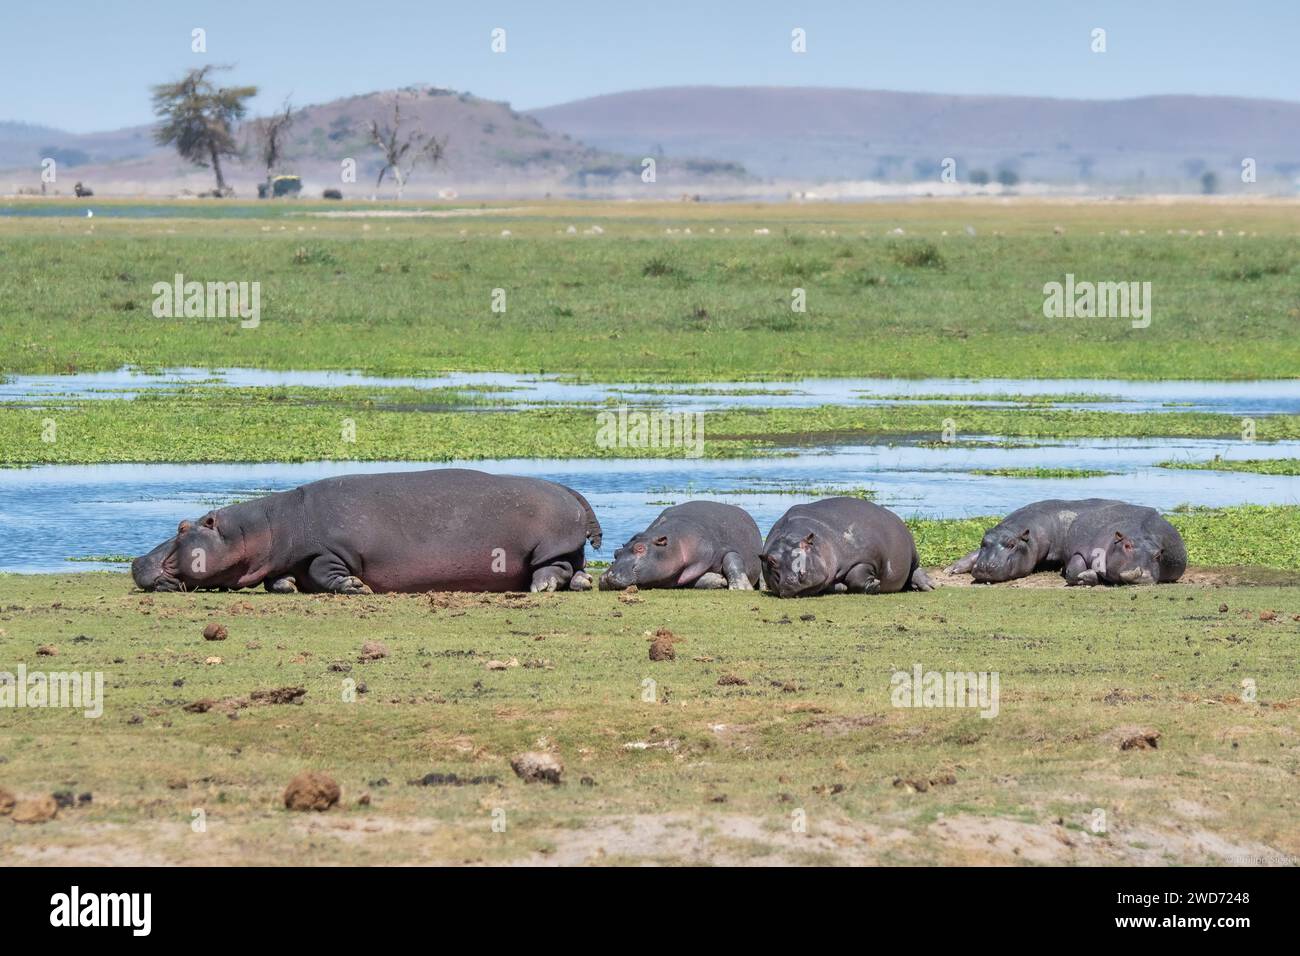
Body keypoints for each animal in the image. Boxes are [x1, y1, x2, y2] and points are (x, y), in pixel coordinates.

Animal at [131, 468, 602, 594]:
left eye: (183, 526)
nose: (136, 561)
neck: (260, 527)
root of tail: (569, 490)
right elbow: (279, 579)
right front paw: (285, 585)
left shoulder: (332, 549)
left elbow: (325, 571)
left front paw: (356, 587)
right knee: (576, 567)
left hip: (549, 543)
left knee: (555, 566)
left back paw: (541, 588)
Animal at [599, 501, 762, 590]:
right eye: (616, 552)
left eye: (640, 548)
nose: (607, 576)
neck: (674, 542)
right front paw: (718, 580)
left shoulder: (721, 548)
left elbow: (732, 559)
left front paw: (741, 587)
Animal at [762, 498, 933, 597]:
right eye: (771, 561)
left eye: (804, 548)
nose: (790, 580)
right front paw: (843, 587)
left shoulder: (864, 558)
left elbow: (857, 575)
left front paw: (875, 584)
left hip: (913, 554)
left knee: (914, 570)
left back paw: (928, 586)